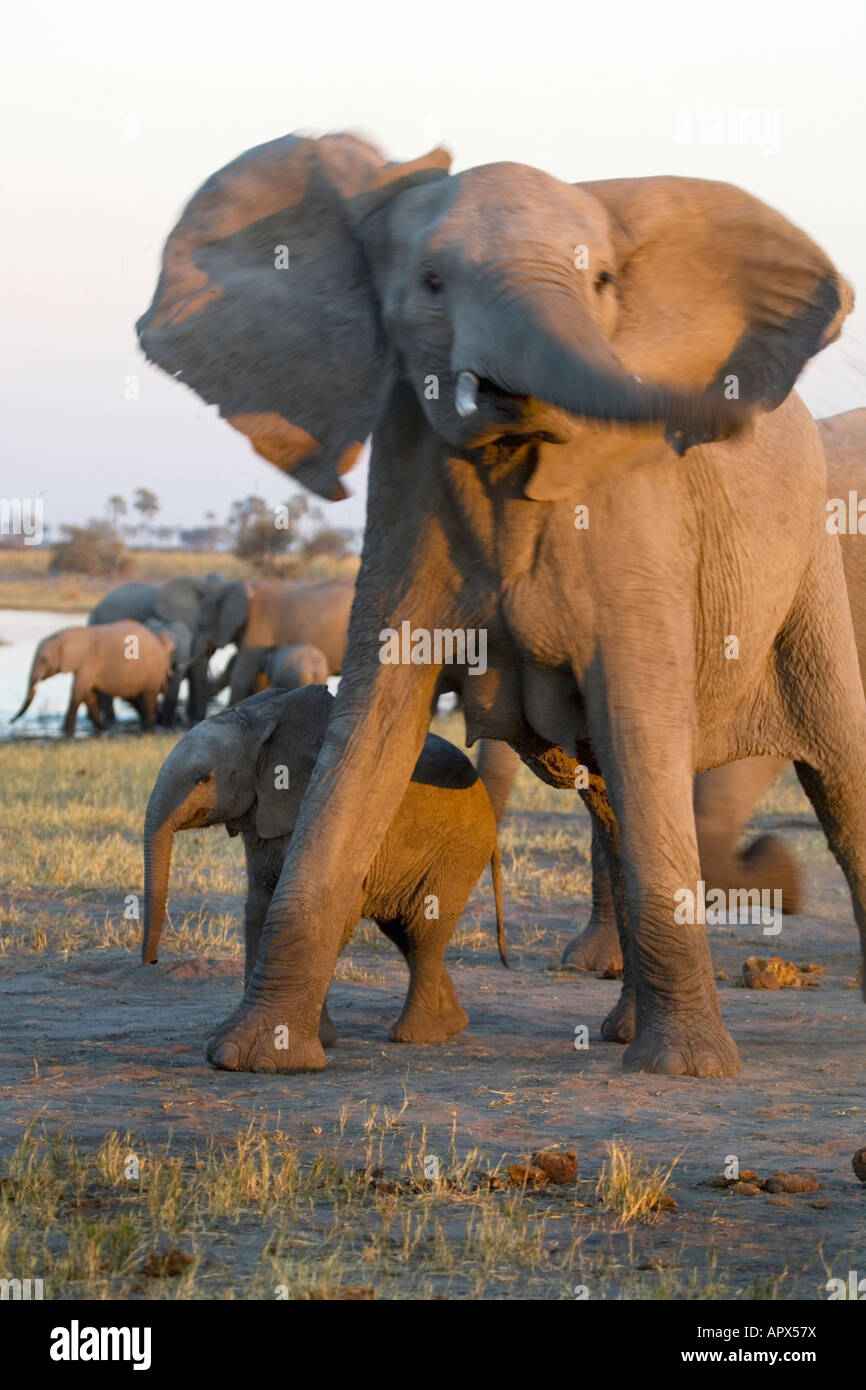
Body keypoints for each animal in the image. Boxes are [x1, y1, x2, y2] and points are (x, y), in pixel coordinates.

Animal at [11, 620, 173, 735]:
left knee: (148, 698)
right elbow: (88, 695)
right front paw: (103, 729)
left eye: (44, 659)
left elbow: (78, 692)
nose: (10, 722)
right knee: (134, 699)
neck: (66, 634)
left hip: (152, 672)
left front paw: (65, 731)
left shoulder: (89, 662)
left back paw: (149, 728)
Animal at [141, 686, 506, 1045]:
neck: (258, 721)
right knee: (401, 929)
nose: (153, 960)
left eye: (203, 778)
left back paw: (414, 1036)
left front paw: (319, 1039)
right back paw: (453, 1023)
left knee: (423, 929)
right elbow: (258, 908)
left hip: (461, 848)